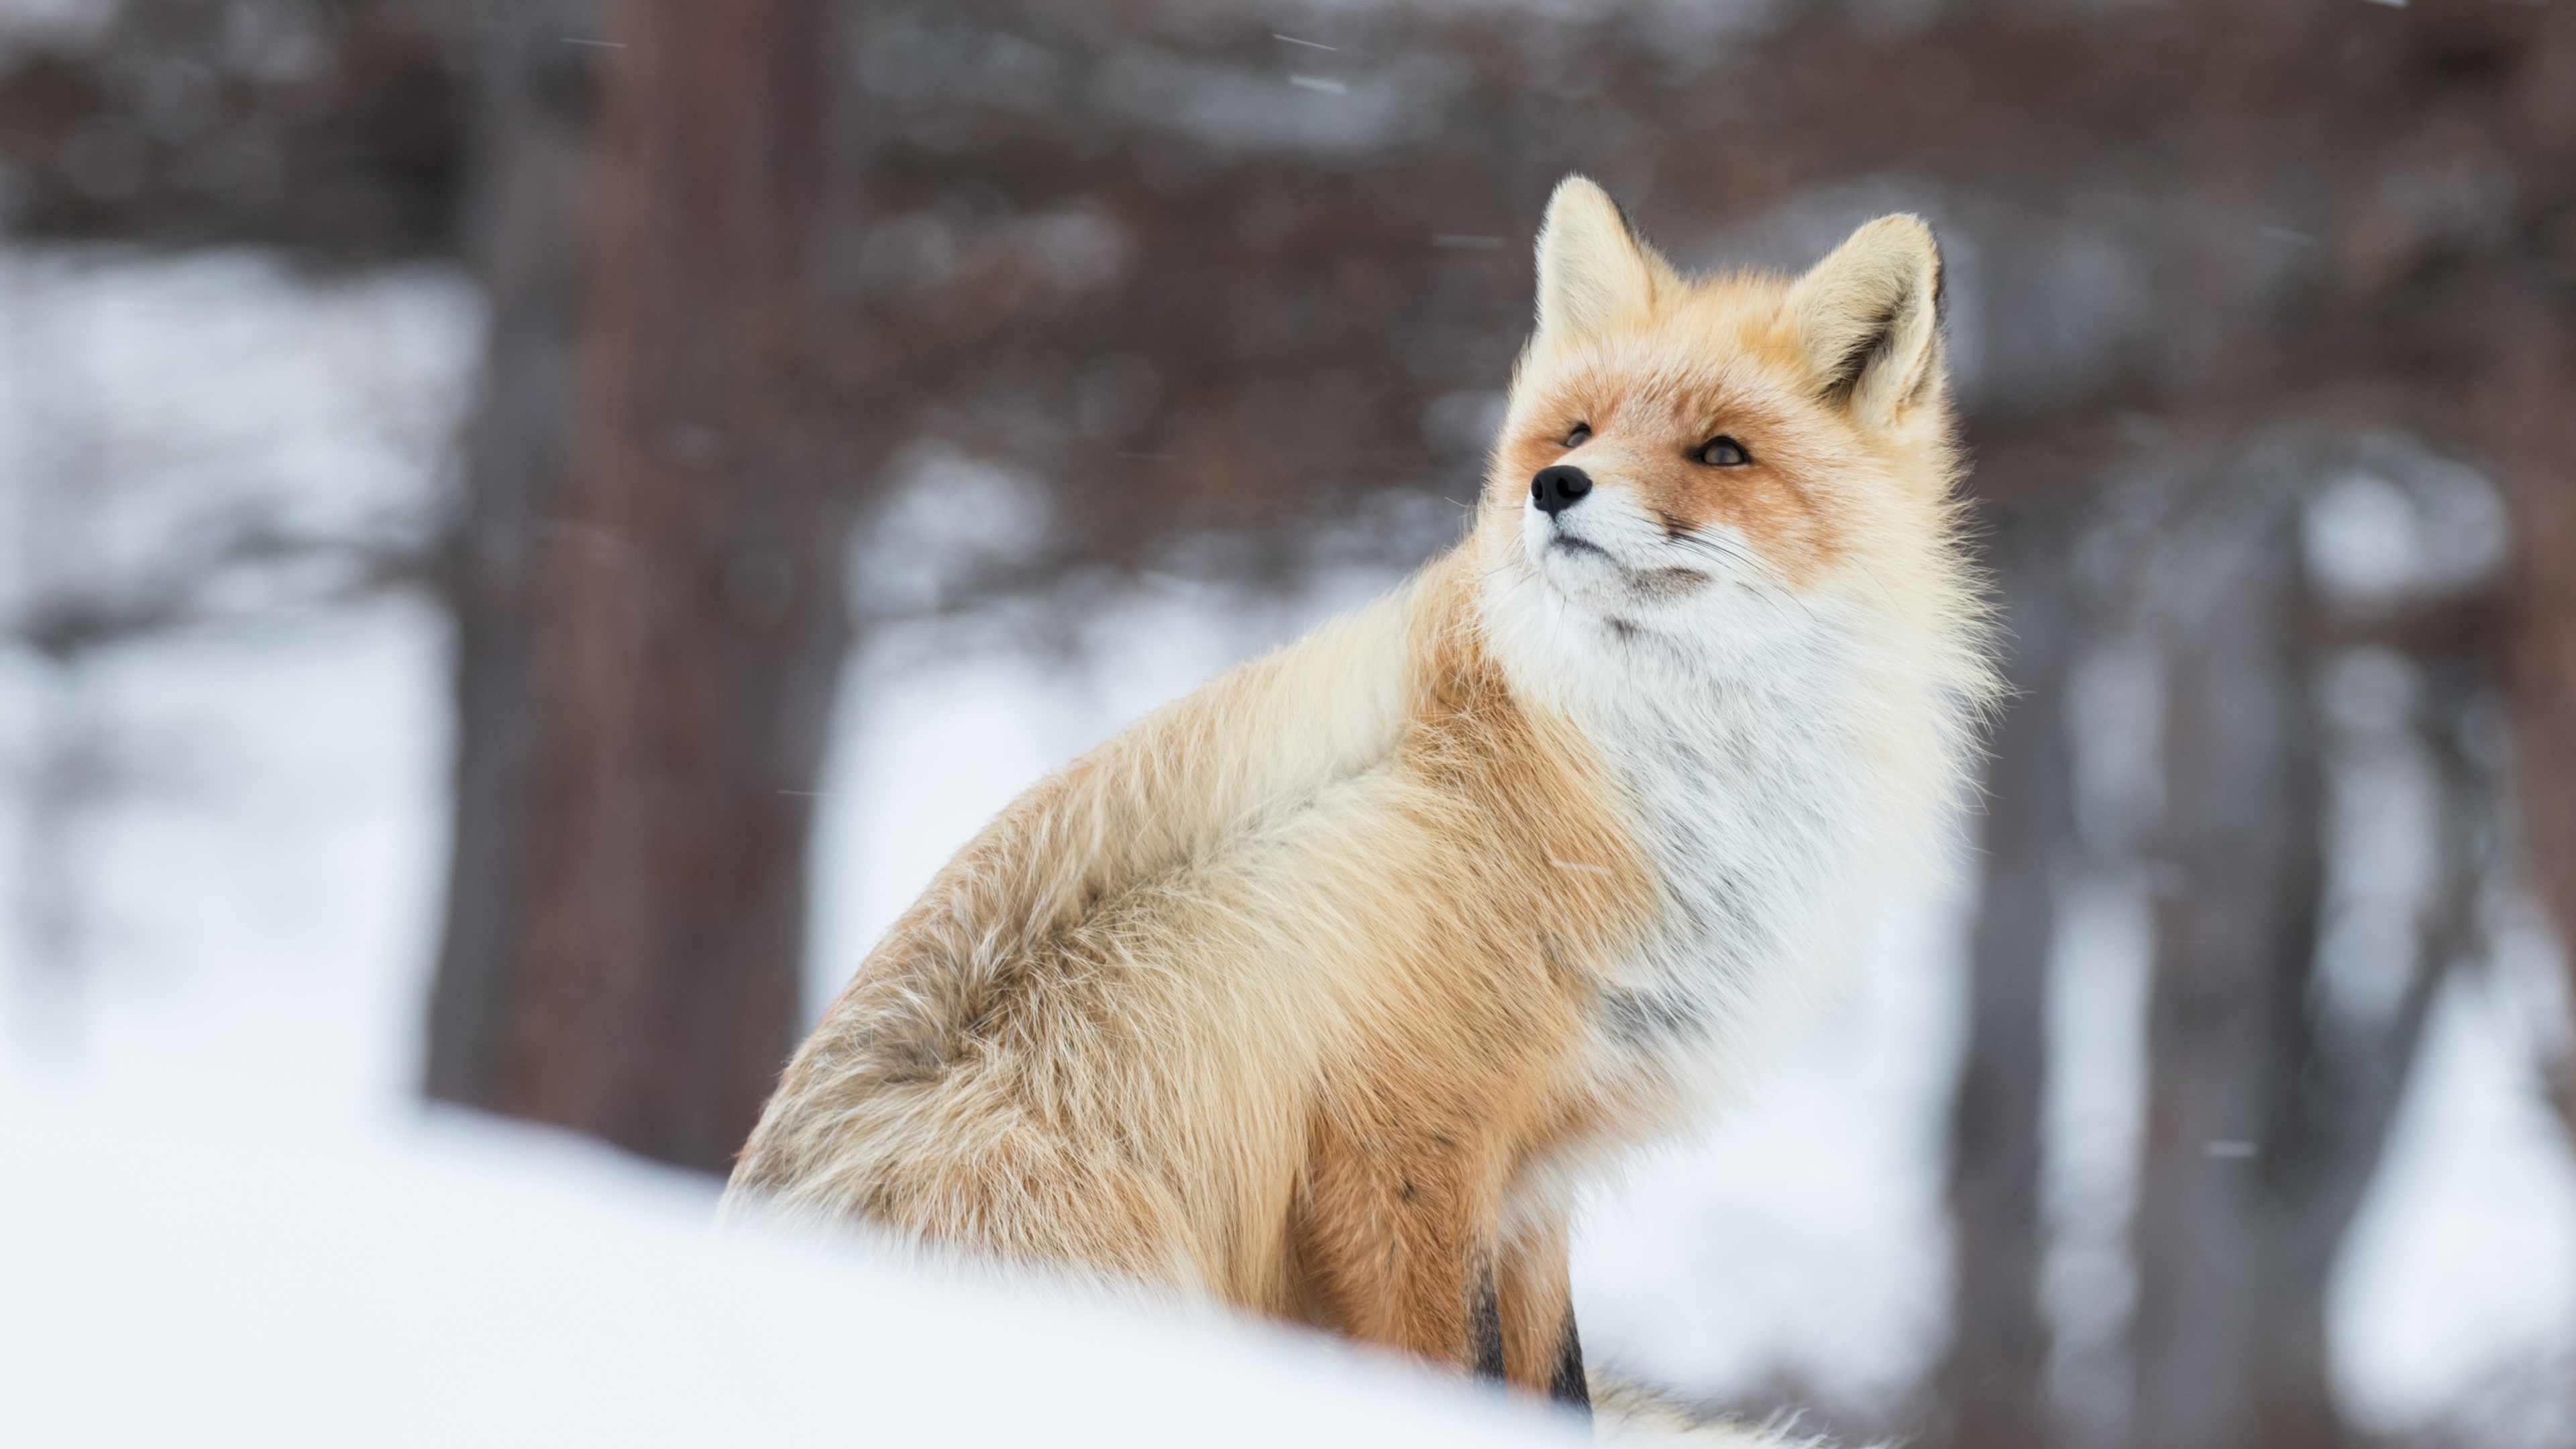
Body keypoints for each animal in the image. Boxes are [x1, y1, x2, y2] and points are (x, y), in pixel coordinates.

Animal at [725, 175, 1994, 1418]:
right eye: (1579, 431)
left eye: (1723, 453)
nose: (1557, 487)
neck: (1610, 781)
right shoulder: (1401, 1146)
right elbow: (1455, 1376)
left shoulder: (1536, 1176)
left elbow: (1557, 1388)